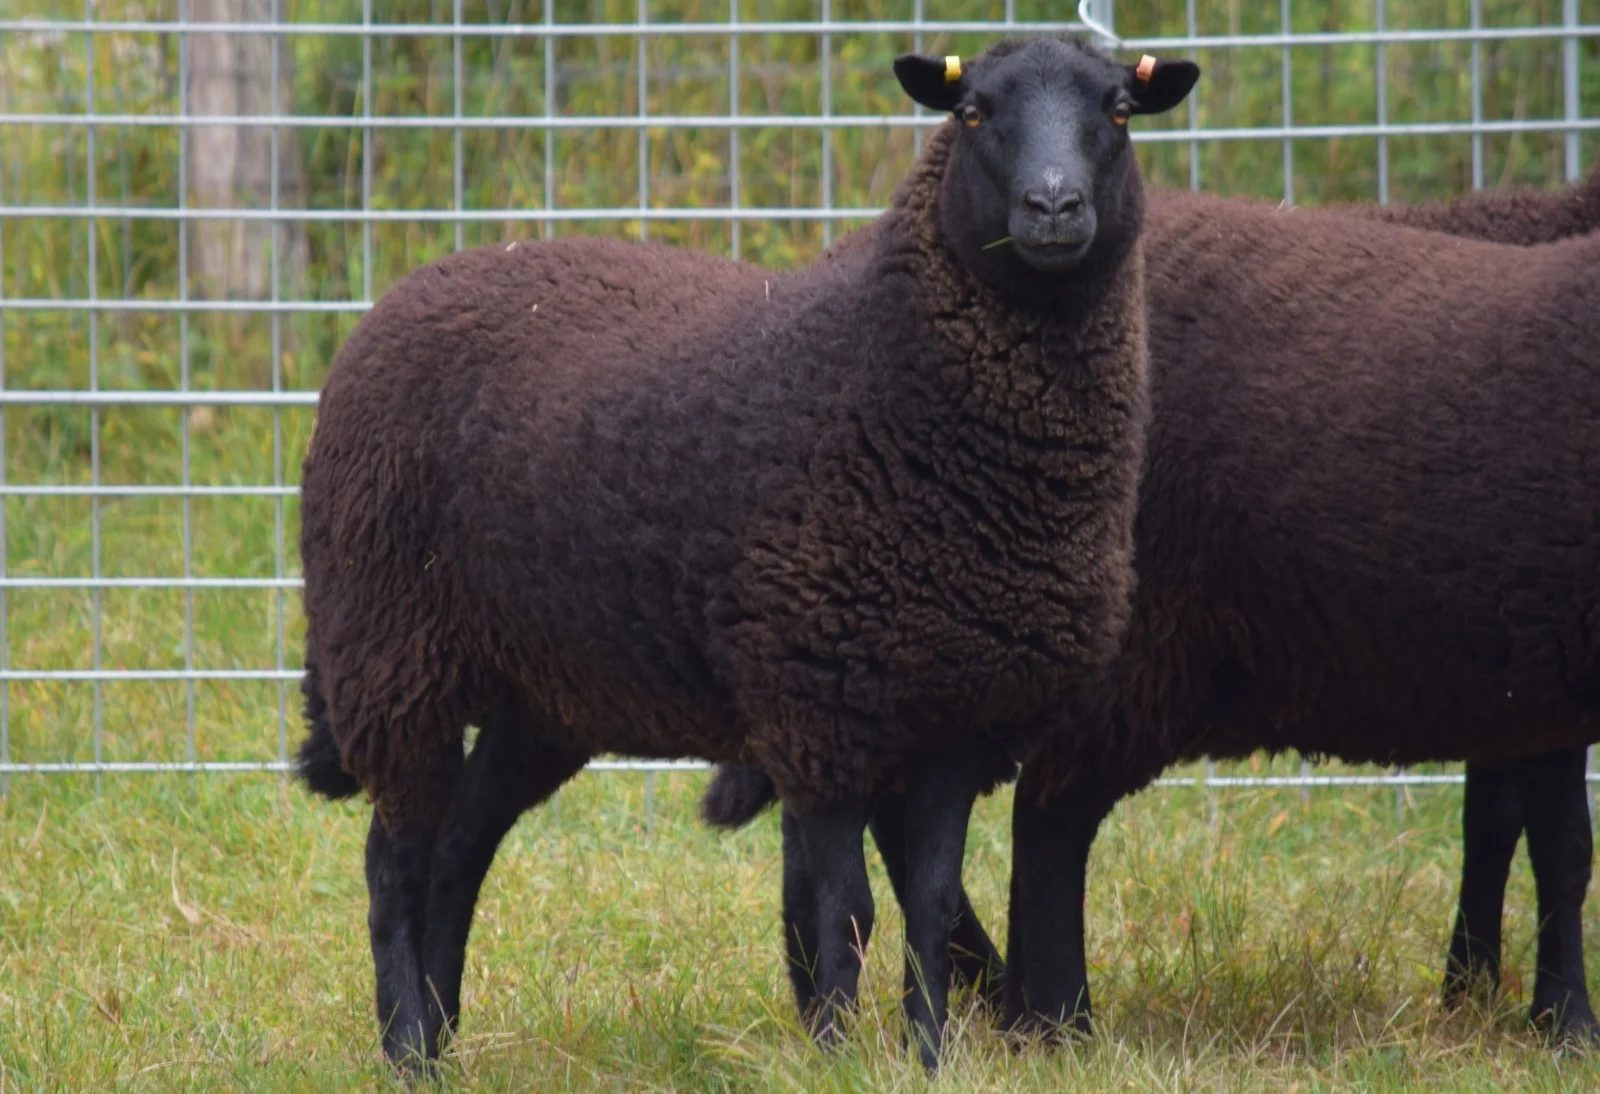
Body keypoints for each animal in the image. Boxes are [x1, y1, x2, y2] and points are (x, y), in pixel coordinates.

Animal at [293, 35, 1200, 1071]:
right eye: (975, 113)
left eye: (1117, 113)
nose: (1054, 207)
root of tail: (400, 294)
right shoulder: (819, 700)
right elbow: (844, 911)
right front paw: (839, 1058)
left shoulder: (954, 712)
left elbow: (929, 907)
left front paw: (929, 1058)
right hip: (392, 654)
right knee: (391, 866)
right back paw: (406, 1047)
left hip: (541, 692)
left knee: (455, 852)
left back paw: (443, 1049)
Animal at [699, 165, 1600, 1039]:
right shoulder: (1543, 652)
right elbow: (1562, 847)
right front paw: (1561, 1021)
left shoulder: (1514, 671)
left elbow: (1507, 826)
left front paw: (1477, 993)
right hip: (1120, 645)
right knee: (1045, 818)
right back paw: (1049, 1019)